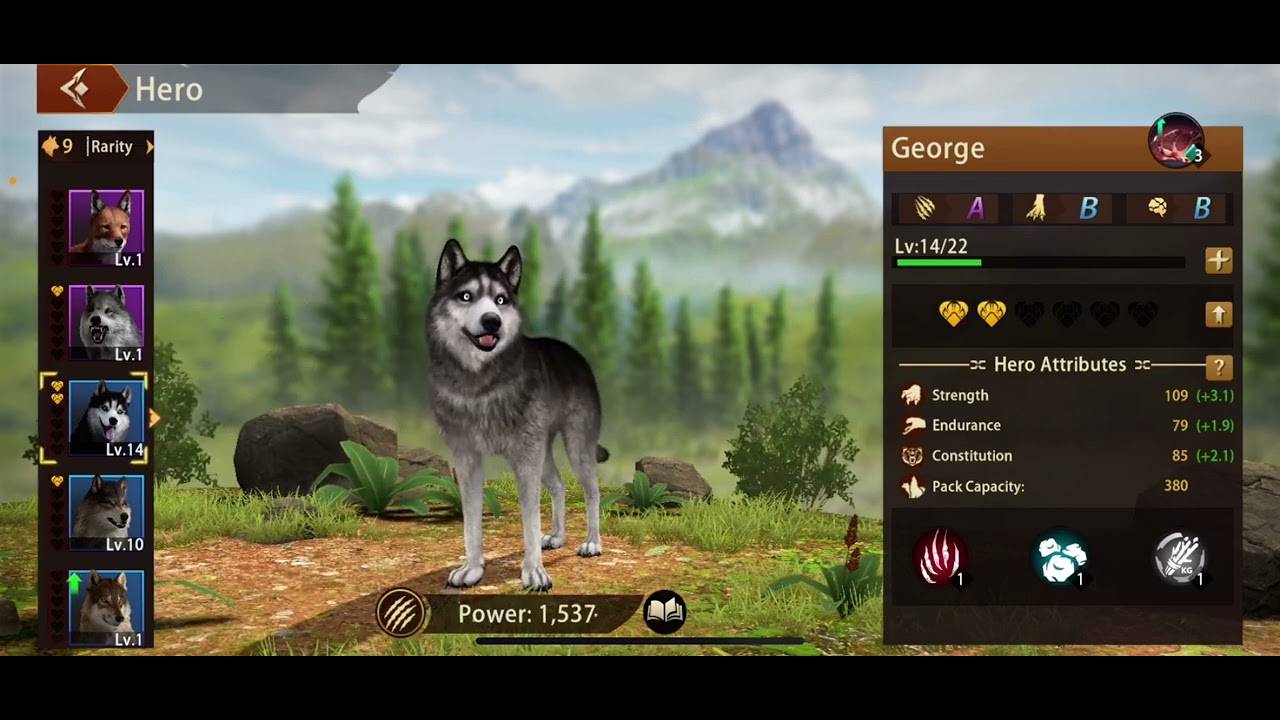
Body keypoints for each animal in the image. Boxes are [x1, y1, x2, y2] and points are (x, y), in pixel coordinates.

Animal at [427, 239, 610, 592]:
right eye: (466, 296)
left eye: (501, 299)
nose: (492, 321)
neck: (479, 387)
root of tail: (575, 353)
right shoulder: (467, 459)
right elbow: (471, 523)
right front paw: (472, 570)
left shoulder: (525, 461)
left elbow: (529, 521)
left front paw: (534, 573)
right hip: (545, 454)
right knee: (559, 487)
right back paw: (557, 537)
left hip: (576, 448)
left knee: (591, 491)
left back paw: (592, 543)